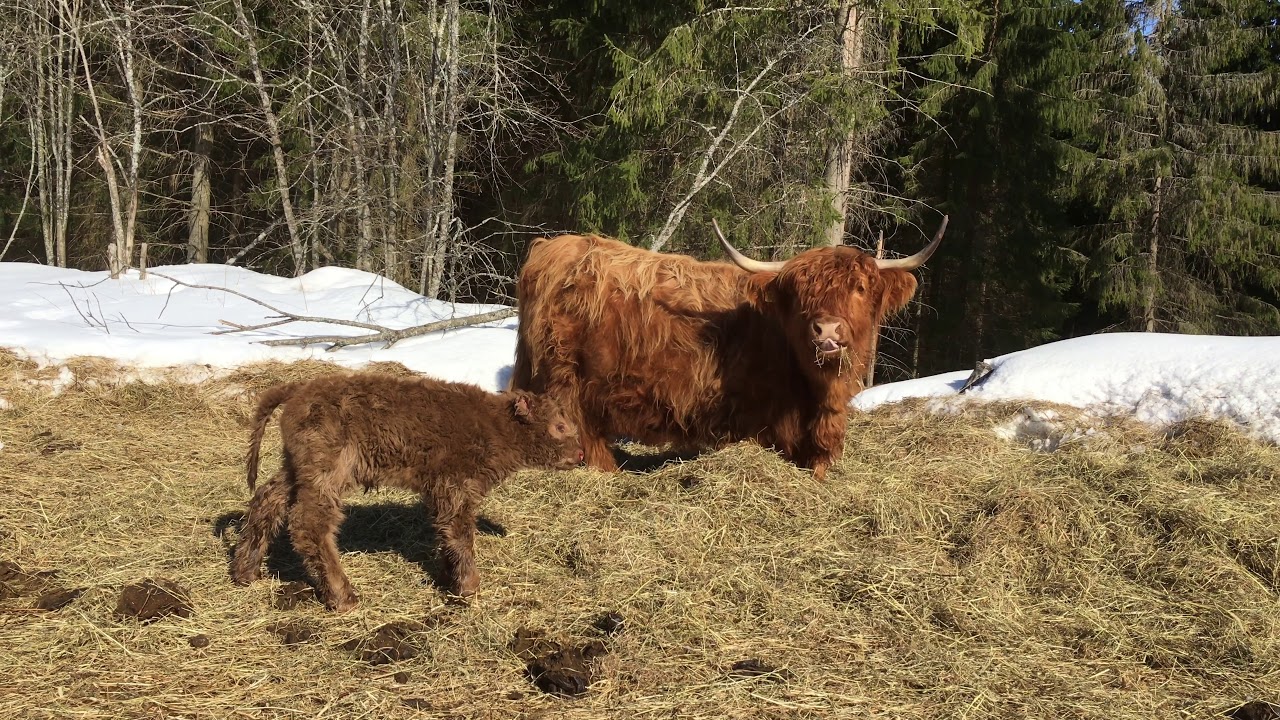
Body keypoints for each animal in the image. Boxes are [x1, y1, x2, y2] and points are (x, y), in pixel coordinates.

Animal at [230, 372, 584, 612]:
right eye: (559, 427)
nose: (581, 455)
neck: (495, 426)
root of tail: (299, 389)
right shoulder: (456, 486)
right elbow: (461, 535)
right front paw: (469, 588)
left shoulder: (439, 491)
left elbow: (445, 534)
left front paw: (447, 579)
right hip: (327, 473)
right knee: (309, 525)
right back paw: (343, 596)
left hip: (298, 469)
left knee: (267, 499)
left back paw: (246, 571)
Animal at [509, 216, 947, 480]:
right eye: (801, 295)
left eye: (859, 288)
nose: (826, 329)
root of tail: (554, 250)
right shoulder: (765, 422)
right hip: (566, 383)